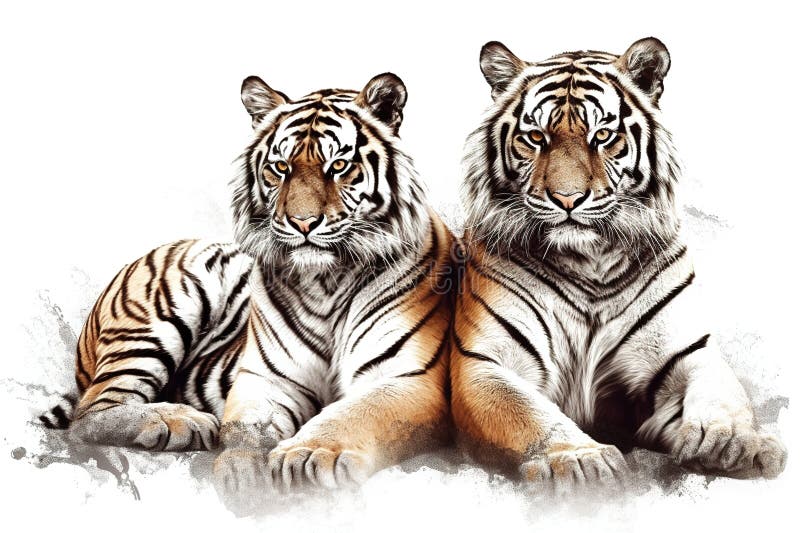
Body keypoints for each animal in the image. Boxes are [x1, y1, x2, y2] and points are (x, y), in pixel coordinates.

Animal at [53, 72, 455, 510]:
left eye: (339, 166)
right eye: (281, 167)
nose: (302, 223)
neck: (327, 280)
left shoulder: (406, 378)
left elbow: (354, 414)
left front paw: (307, 454)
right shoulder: (268, 378)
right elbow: (247, 430)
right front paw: (246, 477)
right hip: (156, 322)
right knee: (89, 413)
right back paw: (179, 421)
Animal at [450, 37, 787, 489]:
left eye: (603, 135)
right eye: (536, 137)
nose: (568, 199)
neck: (590, 261)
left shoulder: (686, 354)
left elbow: (721, 390)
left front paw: (735, 441)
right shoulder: (483, 364)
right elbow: (528, 414)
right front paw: (579, 458)